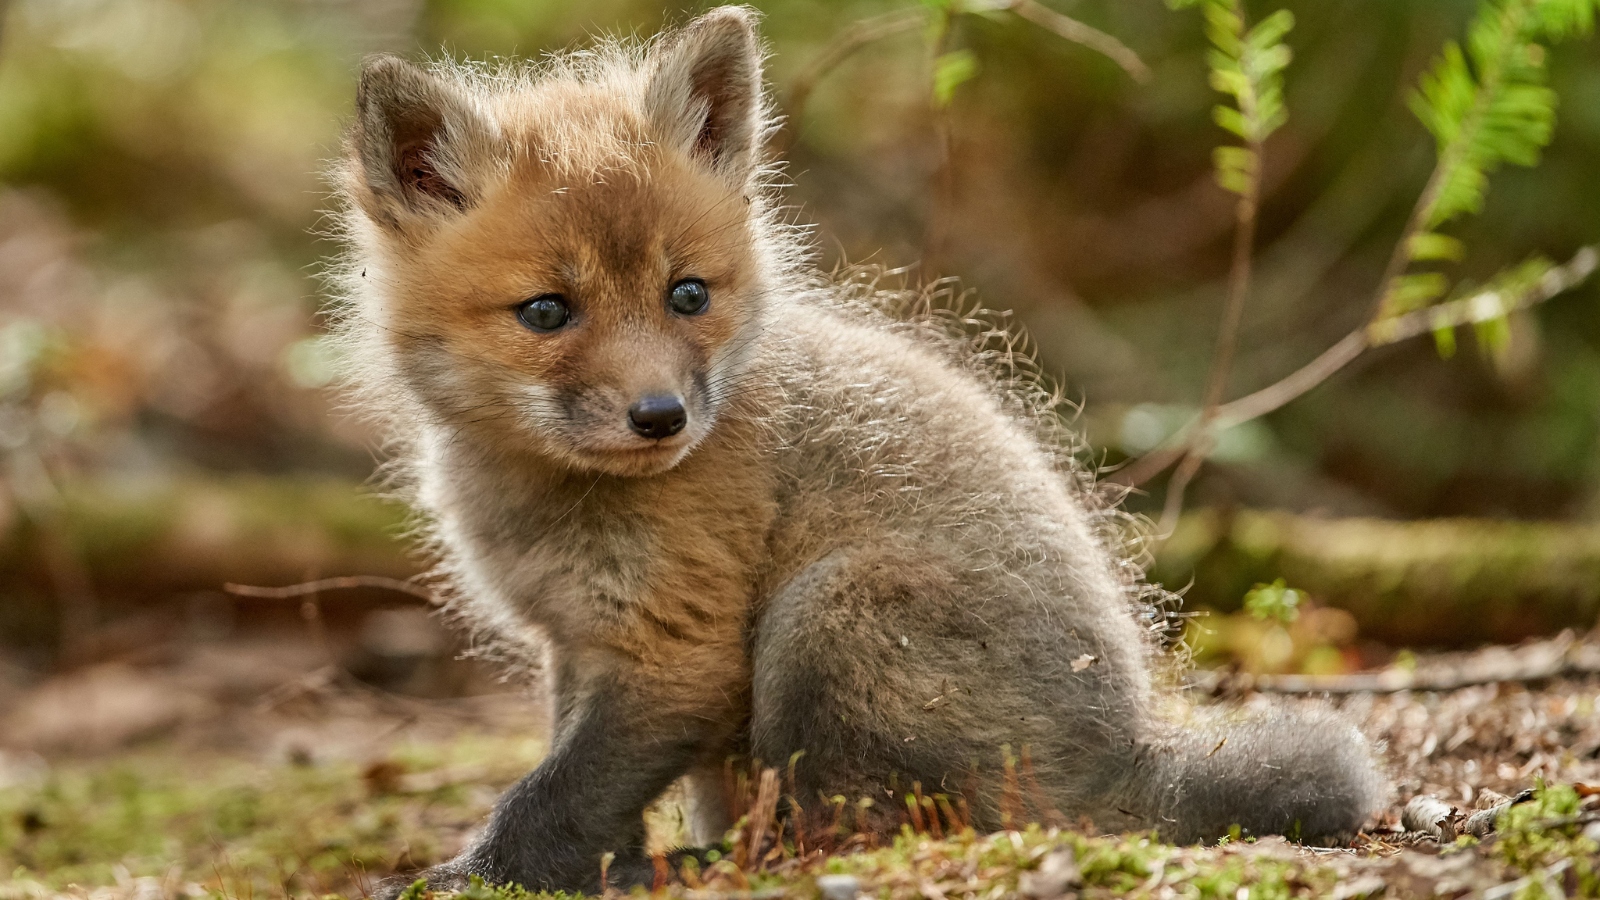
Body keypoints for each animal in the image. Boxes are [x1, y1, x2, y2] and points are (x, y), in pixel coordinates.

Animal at [329, 6, 1387, 895]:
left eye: (687, 294)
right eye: (547, 312)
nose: (661, 417)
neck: (550, 497)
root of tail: (1123, 758)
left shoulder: (676, 649)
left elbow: (550, 795)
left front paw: (477, 875)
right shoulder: (577, 642)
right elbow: (583, 785)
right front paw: (592, 865)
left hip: (831, 614)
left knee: (858, 828)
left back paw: (720, 864)